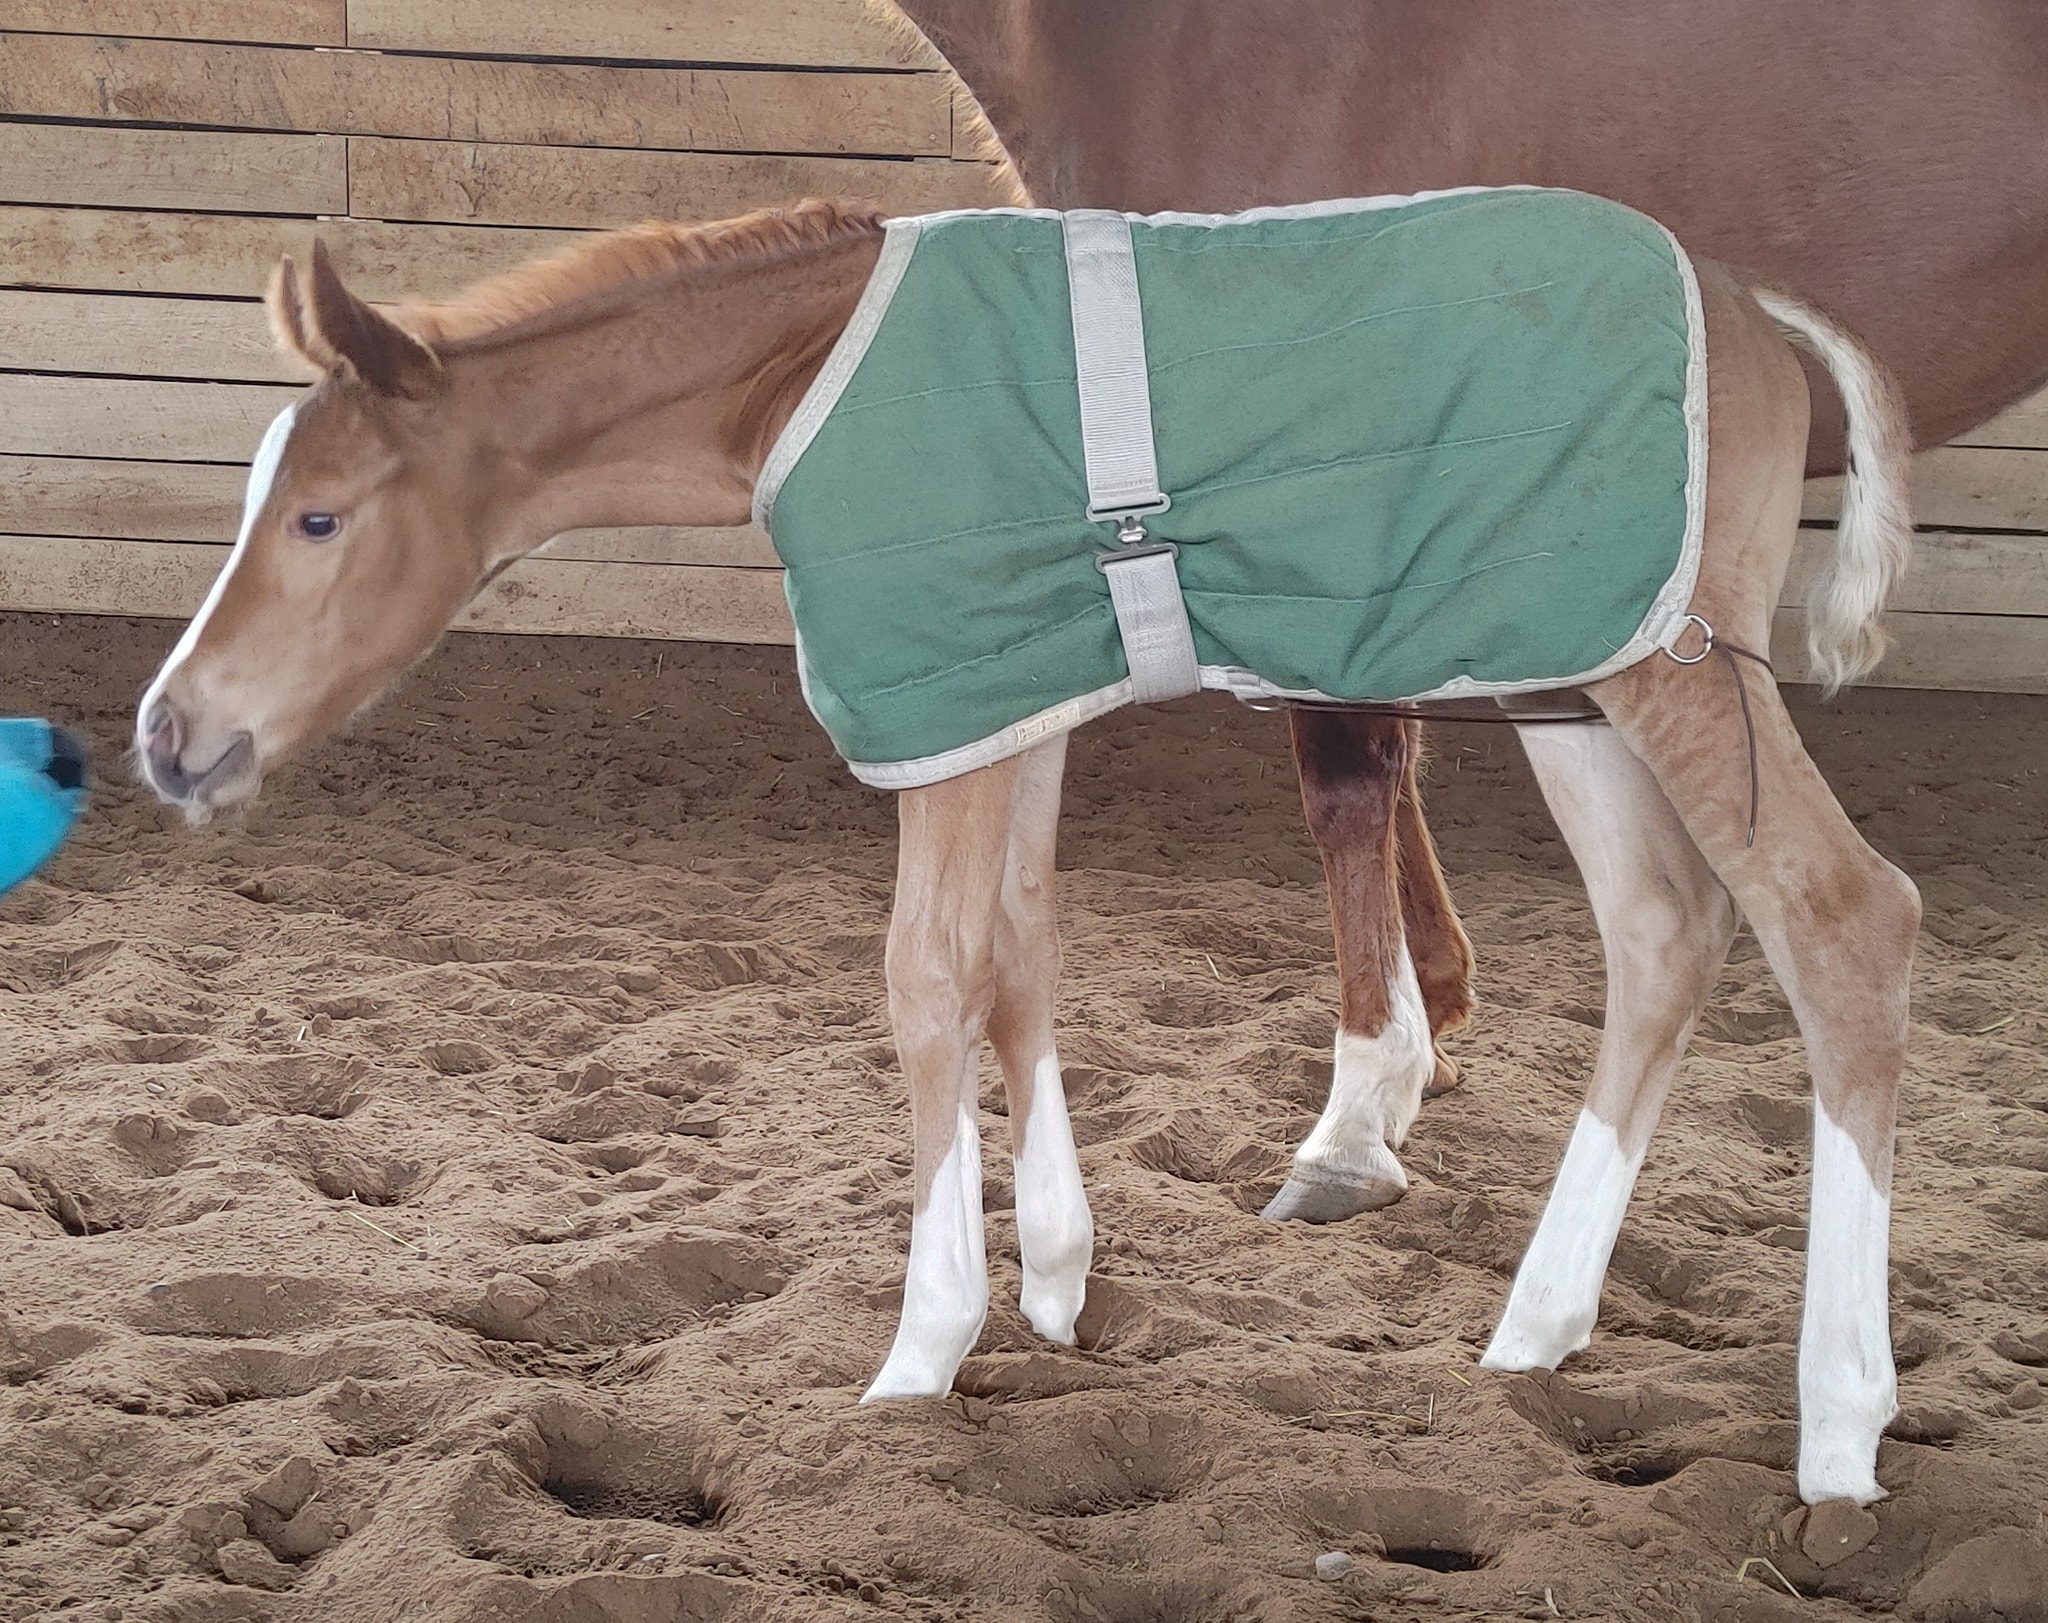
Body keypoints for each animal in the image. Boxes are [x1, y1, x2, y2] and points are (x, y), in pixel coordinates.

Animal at [132, 199, 1918, 1505]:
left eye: (320, 516)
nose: (168, 732)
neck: (798, 374)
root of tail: (1758, 307)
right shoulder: (1012, 696)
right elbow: (1020, 956)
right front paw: (1056, 1278)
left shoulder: (944, 690)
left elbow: (929, 980)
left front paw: (924, 1342)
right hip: (1573, 679)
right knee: (1664, 933)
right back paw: (1536, 1328)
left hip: (1670, 669)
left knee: (1842, 918)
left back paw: (1840, 1424)